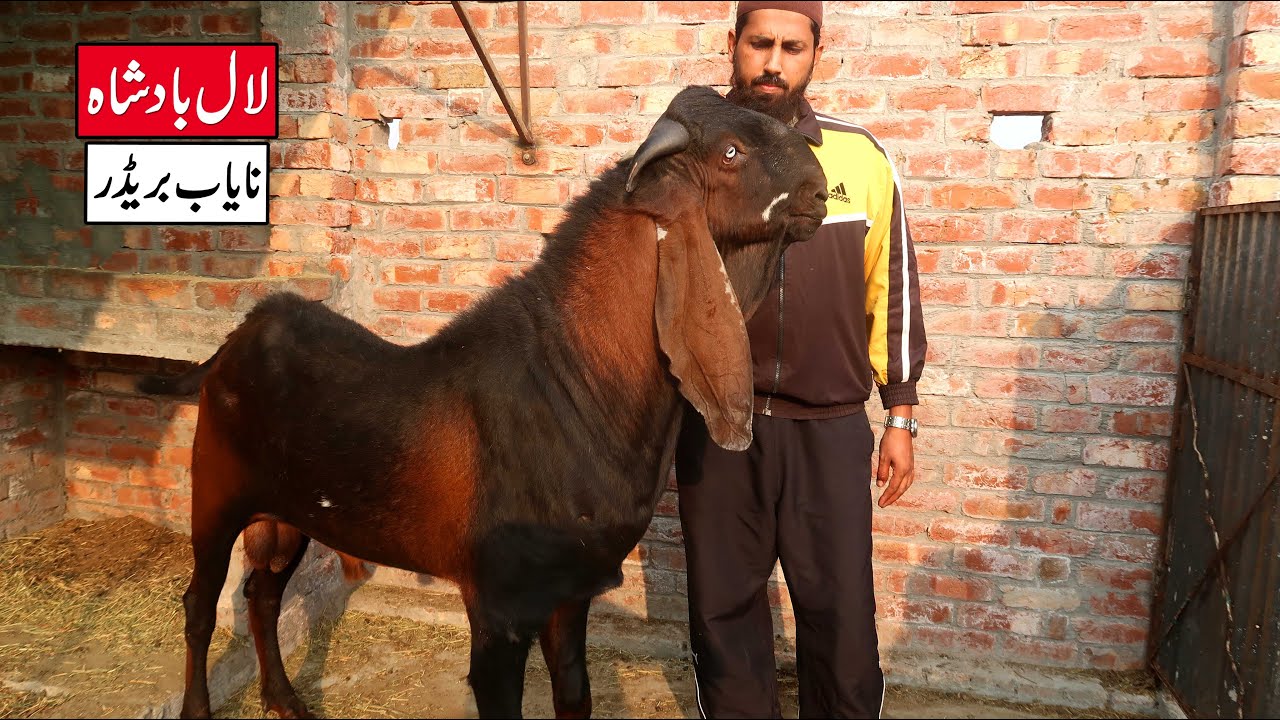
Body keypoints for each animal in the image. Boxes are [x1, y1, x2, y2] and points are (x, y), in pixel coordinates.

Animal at [139, 86, 828, 719]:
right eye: (732, 151)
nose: (821, 188)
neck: (574, 379)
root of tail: (233, 342)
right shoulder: (499, 608)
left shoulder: (568, 593)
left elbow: (573, 693)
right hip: (215, 494)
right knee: (201, 605)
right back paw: (200, 705)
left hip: (289, 513)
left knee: (263, 594)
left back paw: (285, 699)